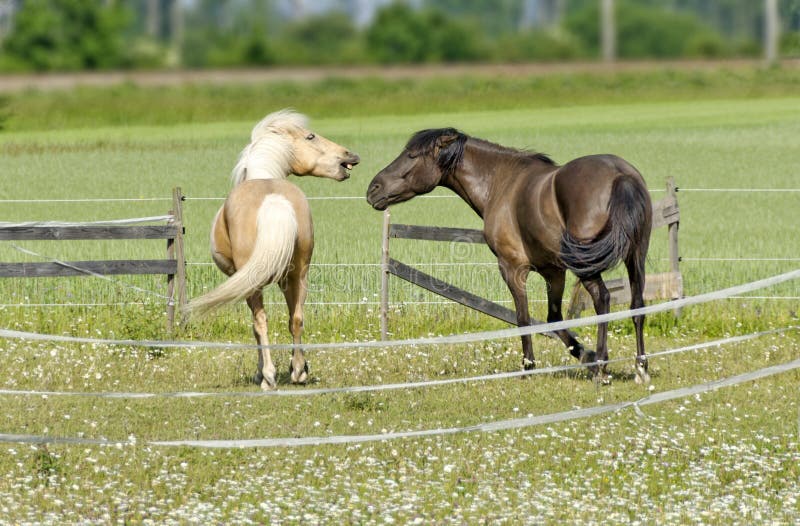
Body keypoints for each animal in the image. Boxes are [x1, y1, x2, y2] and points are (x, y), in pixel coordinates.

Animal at [186, 109, 360, 390]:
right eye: (311, 136)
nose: (350, 157)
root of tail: (274, 200)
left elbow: (256, 327)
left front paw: (260, 372)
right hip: (298, 275)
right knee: (296, 318)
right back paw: (298, 371)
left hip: (253, 283)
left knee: (261, 322)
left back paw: (268, 376)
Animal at [366, 128, 652, 384]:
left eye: (412, 155)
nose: (373, 188)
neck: (501, 183)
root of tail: (620, 175)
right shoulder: (553, 272)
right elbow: (553, 320)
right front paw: (586, 356)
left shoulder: (512, 269)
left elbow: (524, 319)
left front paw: (529, 367)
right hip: (635, 258)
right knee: (637, 305)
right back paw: (640, 368)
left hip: (587, 266)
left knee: (603, 299)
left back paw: (603, 367)